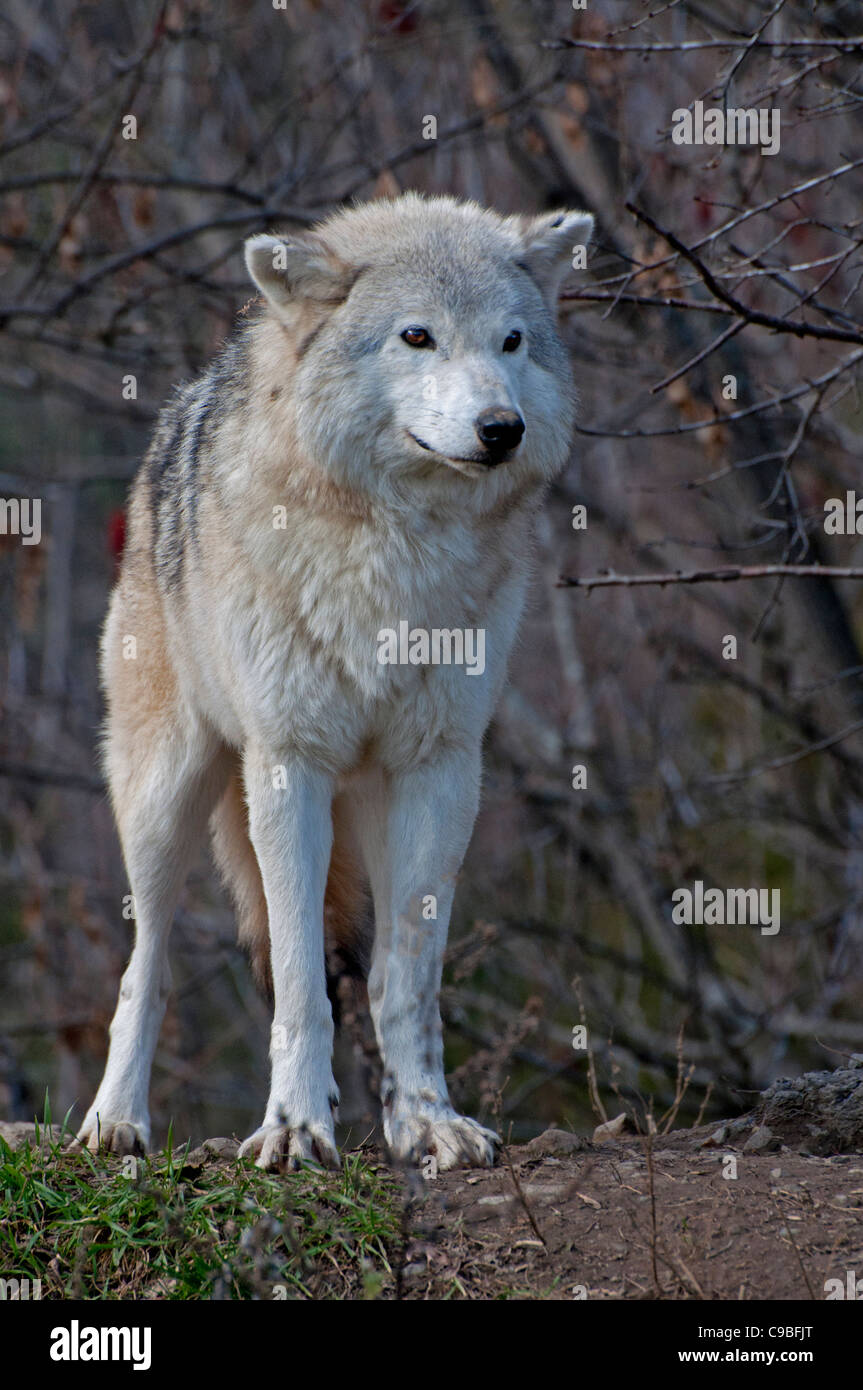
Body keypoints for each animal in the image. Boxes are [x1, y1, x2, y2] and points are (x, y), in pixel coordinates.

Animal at [75, 192, 593, 1171]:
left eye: (511, 341)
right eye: (417, 336)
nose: (500, 429)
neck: (396, 551)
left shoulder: (442, 767)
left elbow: (406, 978)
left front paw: (426, 1122)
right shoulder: (288, 762)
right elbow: (297, 979)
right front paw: (293, 1127)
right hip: (165, 795)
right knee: (143, 965)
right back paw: (116, 1121)